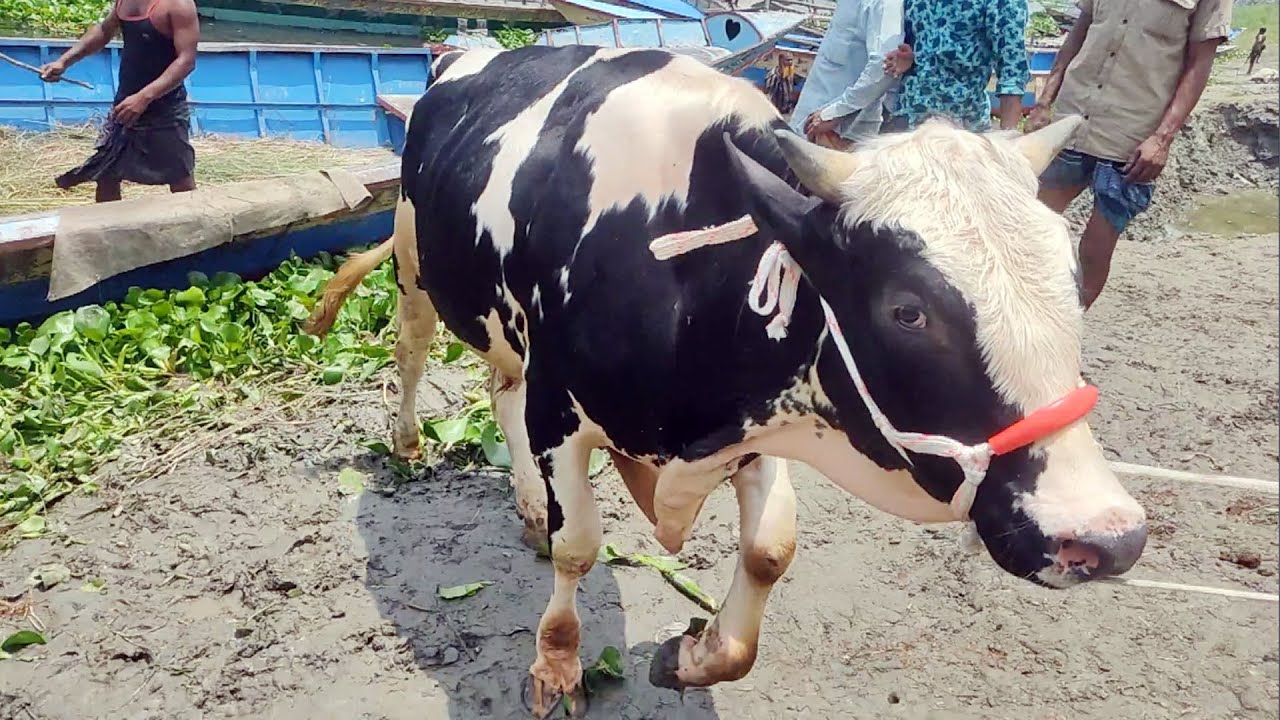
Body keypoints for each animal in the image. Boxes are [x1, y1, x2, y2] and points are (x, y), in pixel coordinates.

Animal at [306, 45, 1148, 716]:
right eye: (906, 310)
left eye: (1071, 276)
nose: (1107, 537)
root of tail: (461, 54)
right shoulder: (561, 409)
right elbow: (580, 547)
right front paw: (557, 666)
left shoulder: (762, 416)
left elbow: (770, 552)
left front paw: (694, 654)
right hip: (415, 260)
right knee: (413, 352)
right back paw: (409, 445)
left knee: (499, 389)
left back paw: (527, 505)